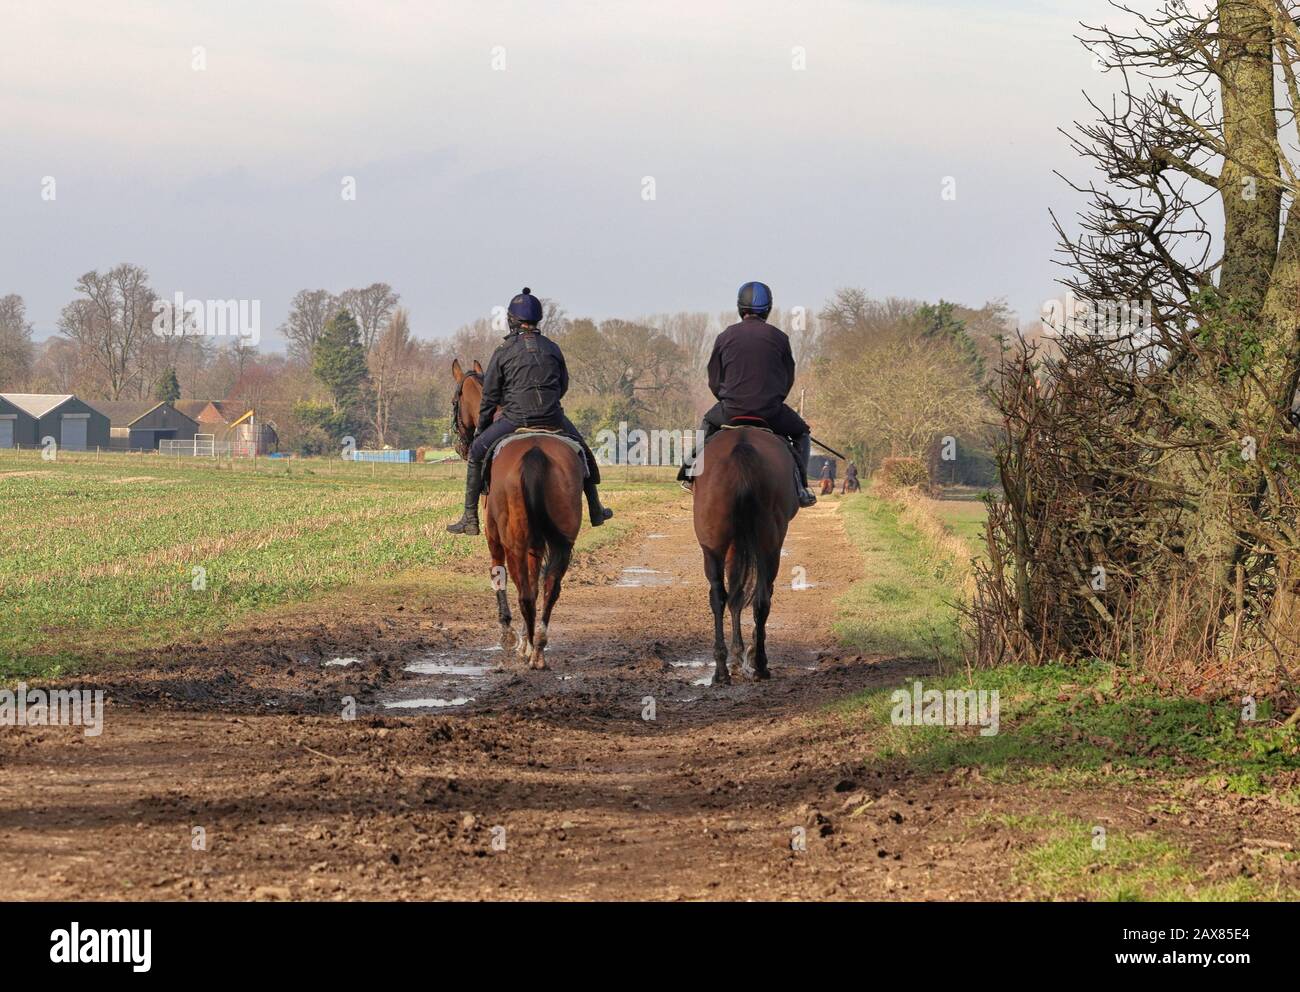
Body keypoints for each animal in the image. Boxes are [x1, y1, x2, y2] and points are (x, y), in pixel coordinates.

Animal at [450, 358, 584, 669]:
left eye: (454, 401)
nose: (461, 446)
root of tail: (536, 453)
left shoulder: (494, 538)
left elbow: (498, 576)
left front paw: (509, 634)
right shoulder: (538, 544)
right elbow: (536, 580)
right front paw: (525, 638)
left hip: (512, 542)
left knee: (523, 591)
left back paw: (529, 649)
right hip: (560, 543)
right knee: (547, 589)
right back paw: (538, 647)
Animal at [691, 424, 799, 685]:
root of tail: (742, 450)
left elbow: (735, 596)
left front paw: (738, 654)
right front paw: (743, 653)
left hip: (714, 547)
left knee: (720, 597)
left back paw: (721, 669)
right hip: (769, 546)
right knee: (761, 598)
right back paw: (758, 663)